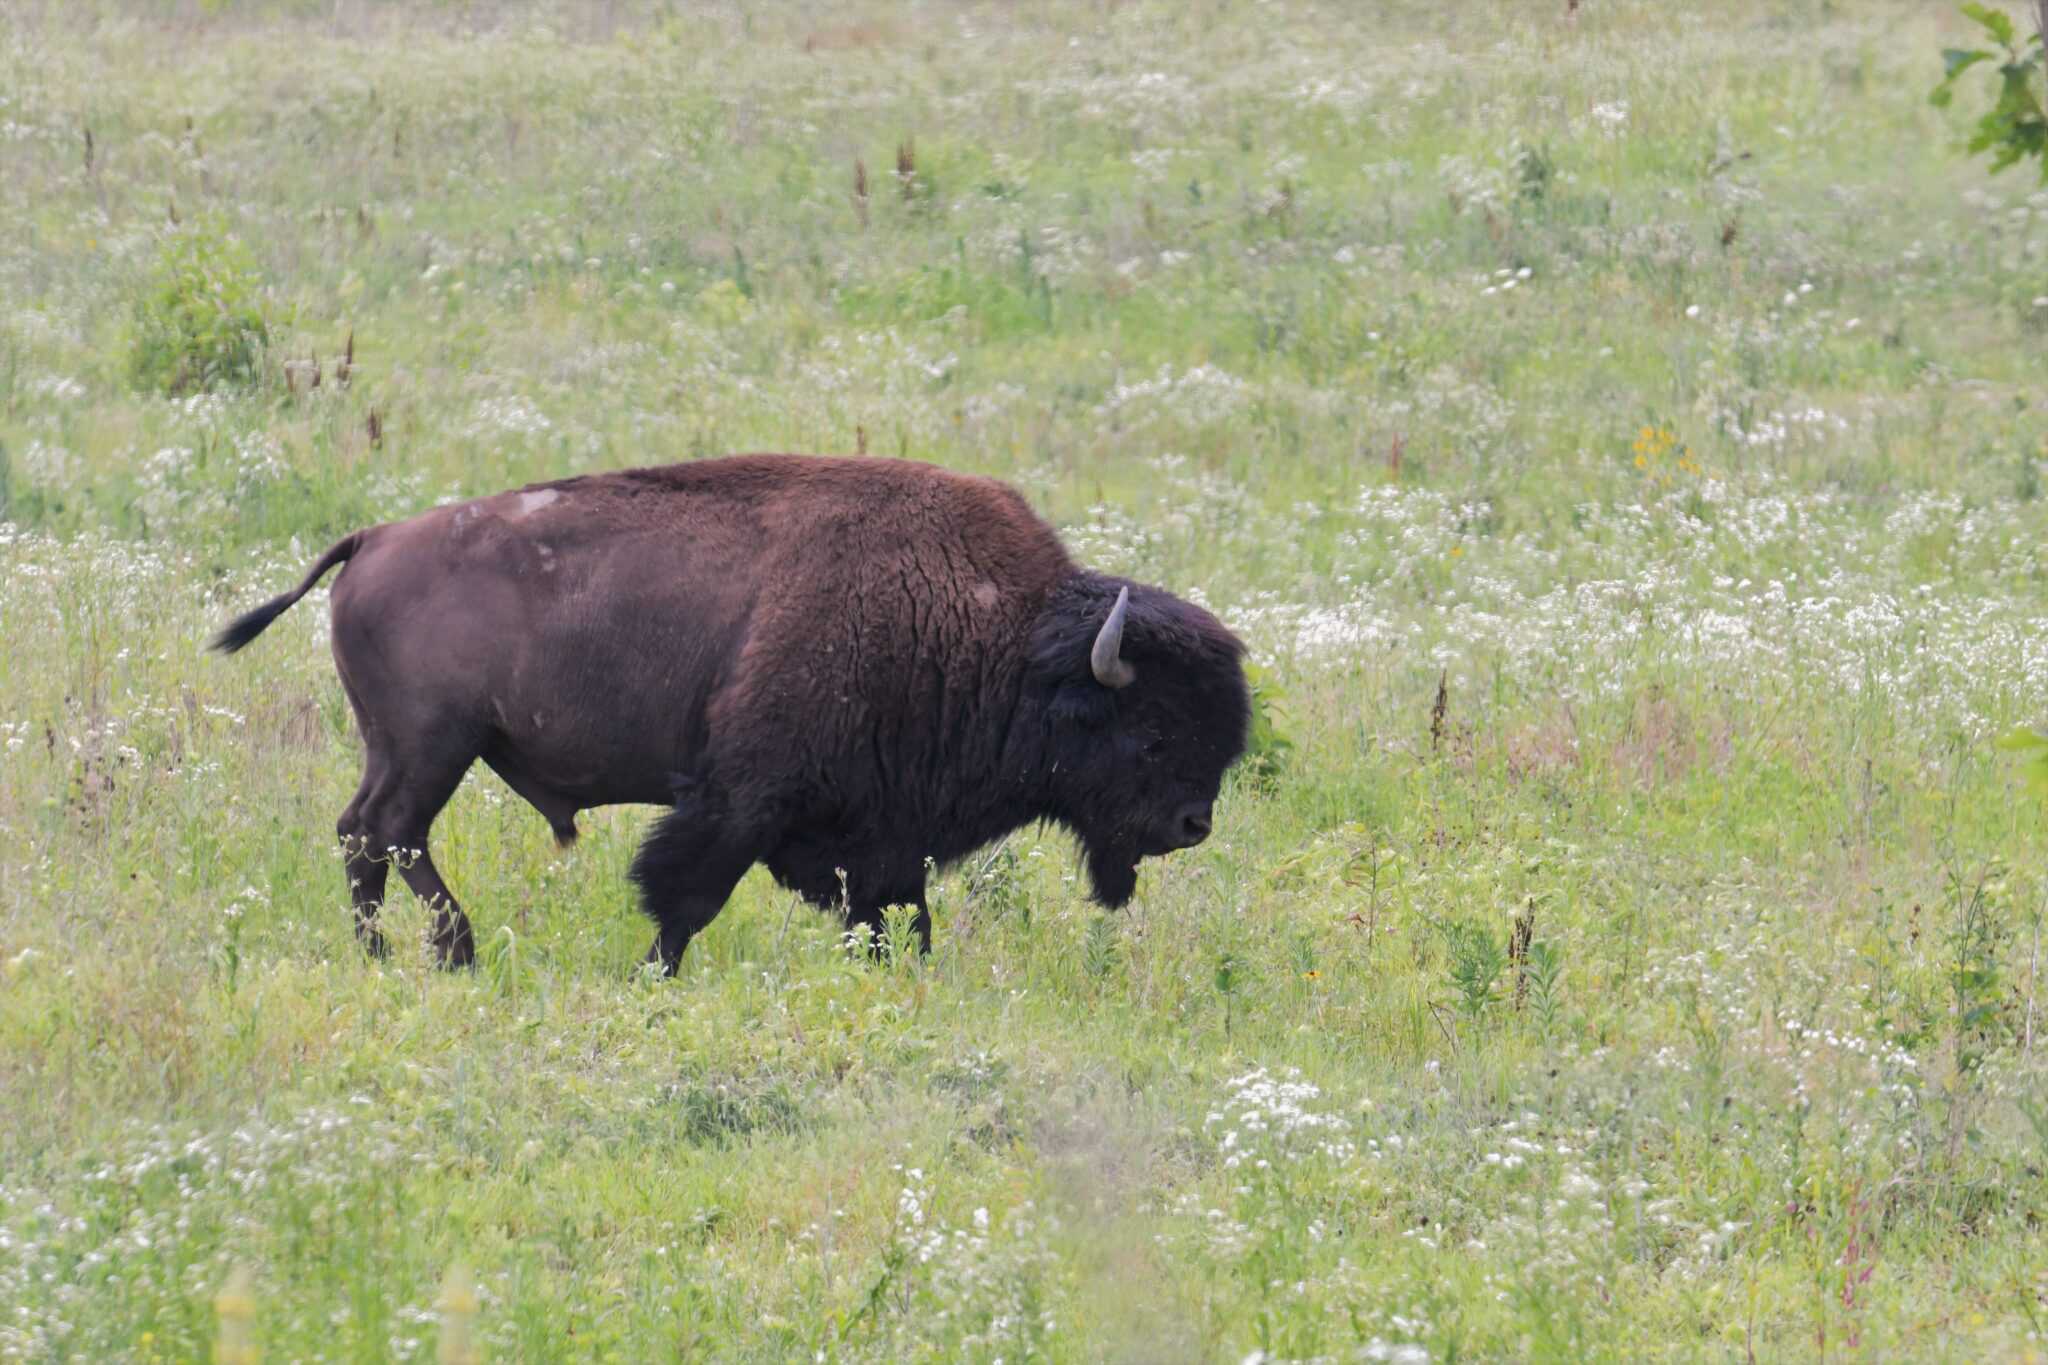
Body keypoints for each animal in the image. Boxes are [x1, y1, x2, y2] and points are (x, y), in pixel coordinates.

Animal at [212, 454, 1250, 972]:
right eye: (1152, 731)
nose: (1193, 823)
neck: (998, 632)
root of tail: (374, 538)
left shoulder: (879, 831)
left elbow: (894, 915)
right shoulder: (745, 798)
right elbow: (687, 896)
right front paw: (651, 974)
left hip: (404, 746)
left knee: (364, 831)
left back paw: (387, 953)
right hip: (434, 744)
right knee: (388, 830)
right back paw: (451, 951)